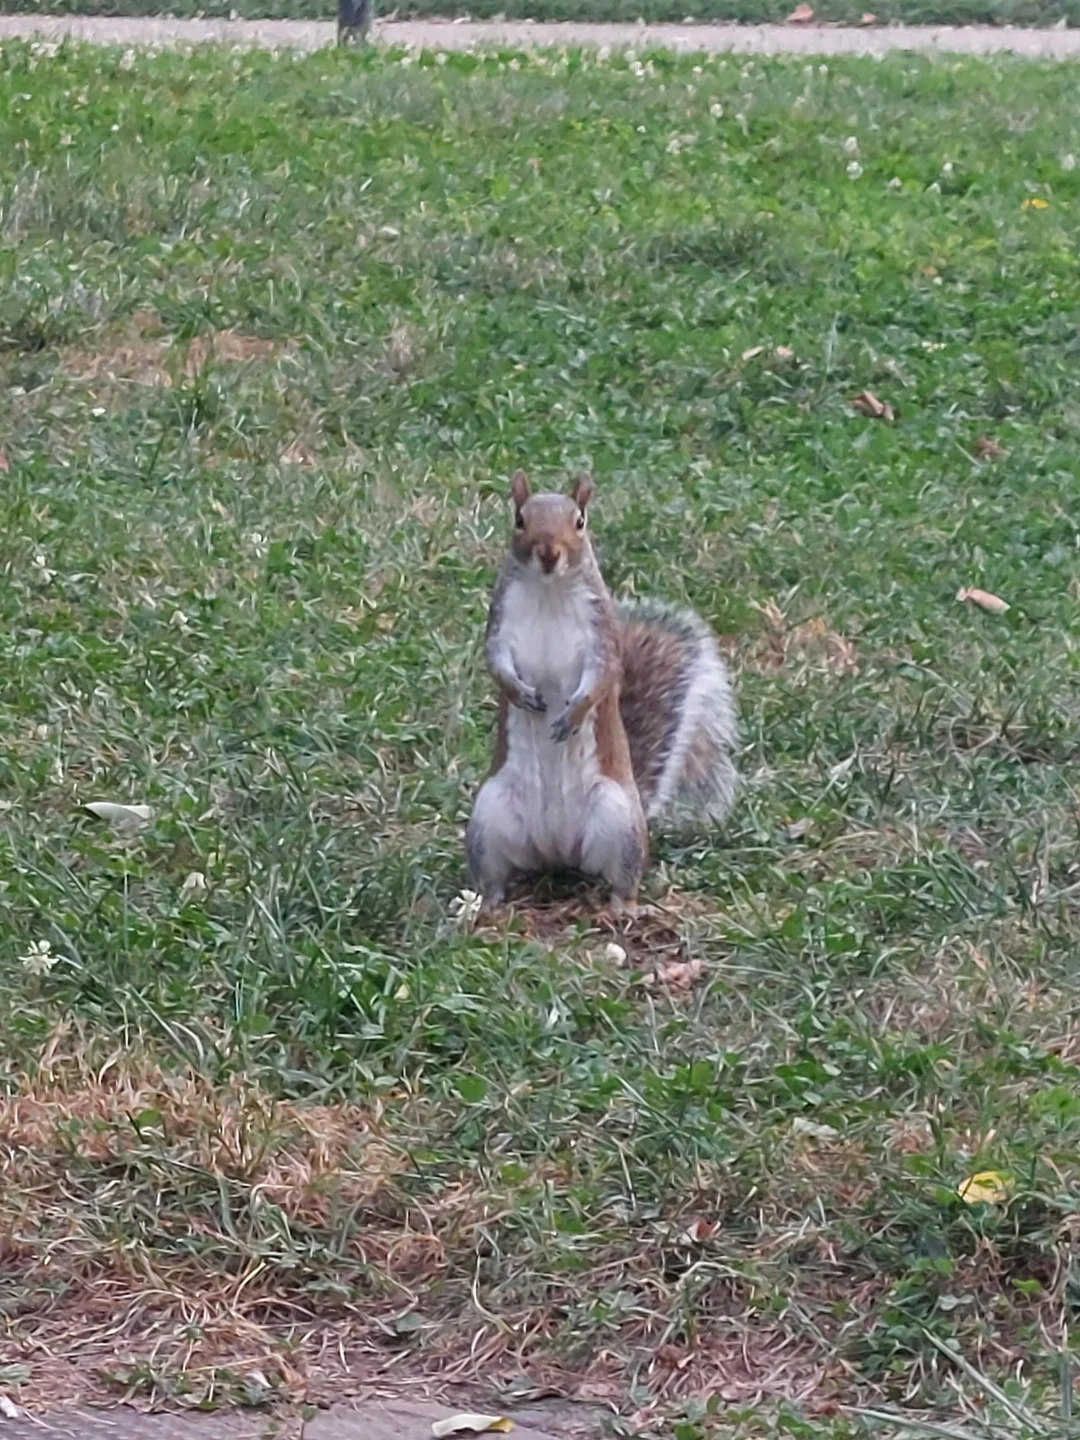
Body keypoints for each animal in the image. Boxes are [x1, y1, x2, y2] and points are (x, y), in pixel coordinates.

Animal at [465, 470, 737, 909]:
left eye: (580, 521)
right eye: (519, 520)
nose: (549, 553)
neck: (550, 591)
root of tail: (556, 851)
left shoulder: (601, 638)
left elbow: (601, 678)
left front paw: (572, 715)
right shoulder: (499, 628)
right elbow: (497, 666)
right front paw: (521, 694)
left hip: (617, 822)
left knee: (623, 879)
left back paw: (621, 909)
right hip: (488, 820)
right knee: (493, 876)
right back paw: (486, 908)